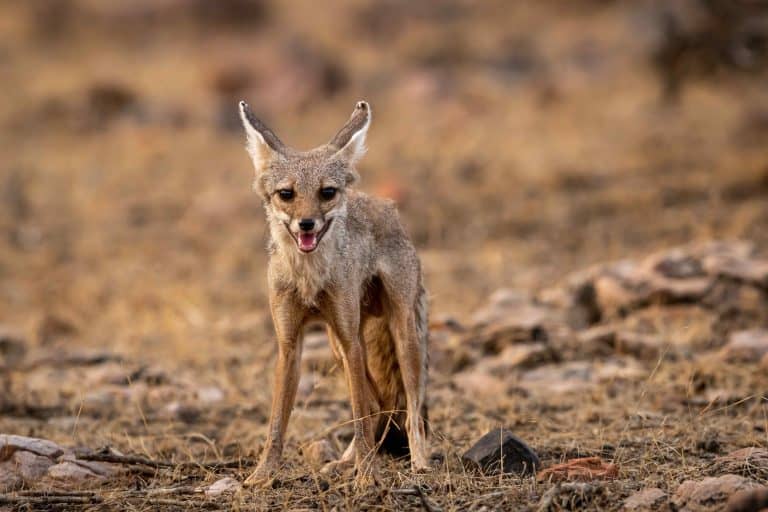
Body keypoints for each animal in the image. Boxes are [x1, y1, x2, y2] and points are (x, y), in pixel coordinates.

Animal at [237, 100, 429, 486]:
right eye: (287, 194)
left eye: (327, 193)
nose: (306, 224)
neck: (309, 278)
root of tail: (386, 205)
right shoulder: (290, 344)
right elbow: (276, 424)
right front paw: (262, 475)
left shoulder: (351, 338)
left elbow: (359, 417)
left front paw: (367, 476)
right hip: (334, 344)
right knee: (377, 406)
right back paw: (343, 463)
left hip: (399, 337)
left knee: (410, 410)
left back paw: (419, 463)